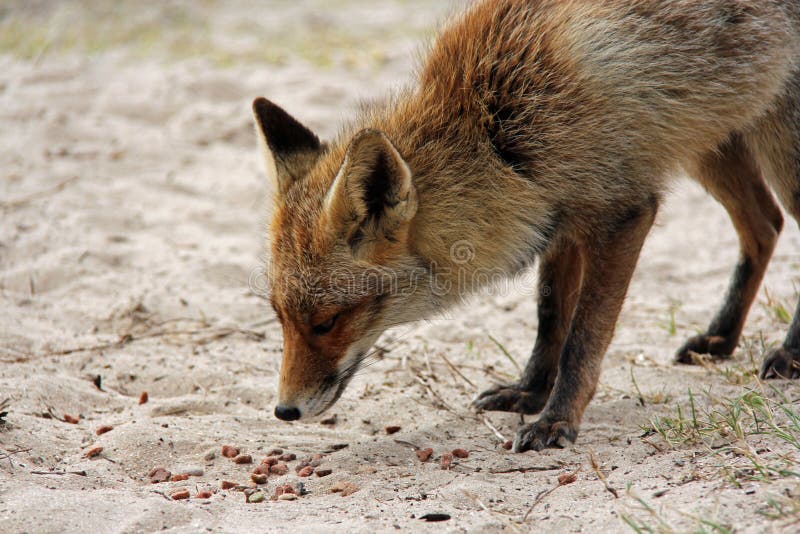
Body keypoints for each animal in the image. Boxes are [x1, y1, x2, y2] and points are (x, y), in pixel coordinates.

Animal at [252, 0, 800, 452]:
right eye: (280, 317)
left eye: (327, 321)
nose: (284, 410)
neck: (498, 133)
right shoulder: (558, 217)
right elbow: (549, 317)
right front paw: (529, 392)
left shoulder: (623, 212)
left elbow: (583, 338)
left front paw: (557, 420)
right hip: (713, 138)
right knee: (765, 226)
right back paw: (721, 339)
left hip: (772, 145)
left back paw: (790, 354)